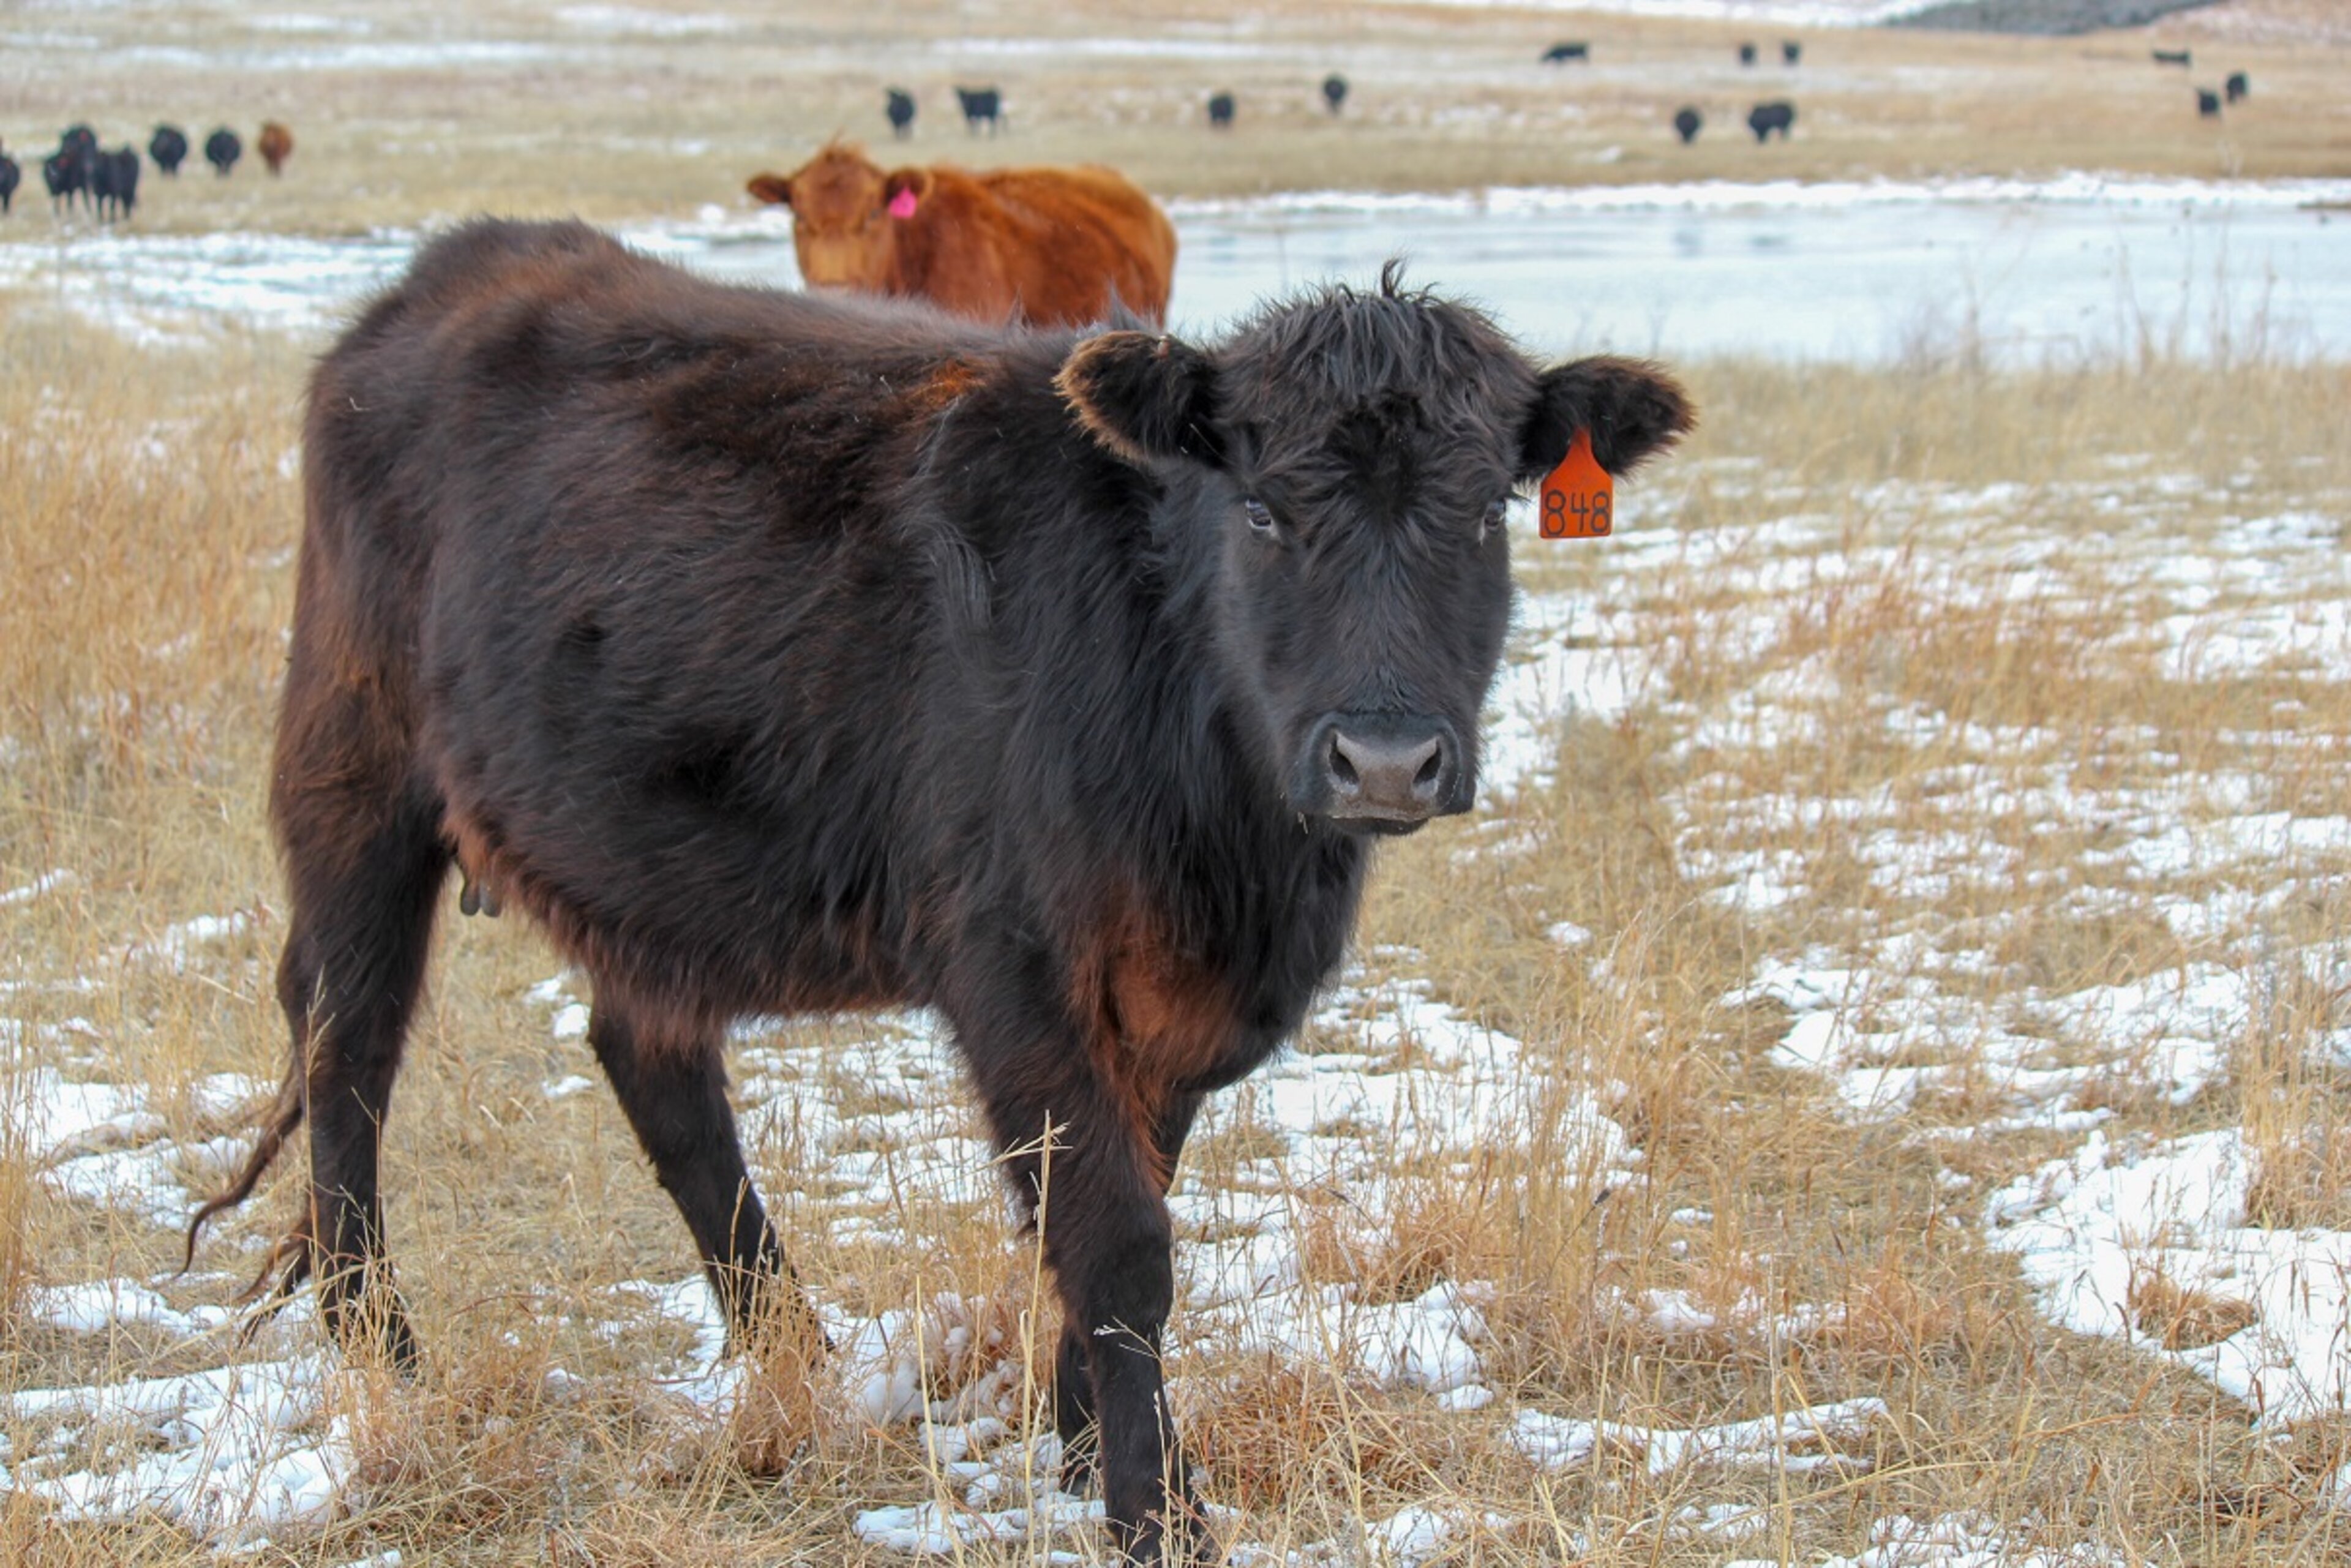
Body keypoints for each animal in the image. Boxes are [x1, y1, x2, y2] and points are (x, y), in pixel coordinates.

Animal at [186, 215, 1693, 1565]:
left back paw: (794, 1349)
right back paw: (380, 1344)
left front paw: (1080, 1441)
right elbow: (1118, 1239)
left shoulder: (1163, 1005)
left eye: (1486, 512)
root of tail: (460, 270)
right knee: (350, 1046)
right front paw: (1158, 1512)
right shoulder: (1014, 961)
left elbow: (1118, 1207)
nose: (1385, 756)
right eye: (1263, 508)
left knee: (650, 1064)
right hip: (354, 776)